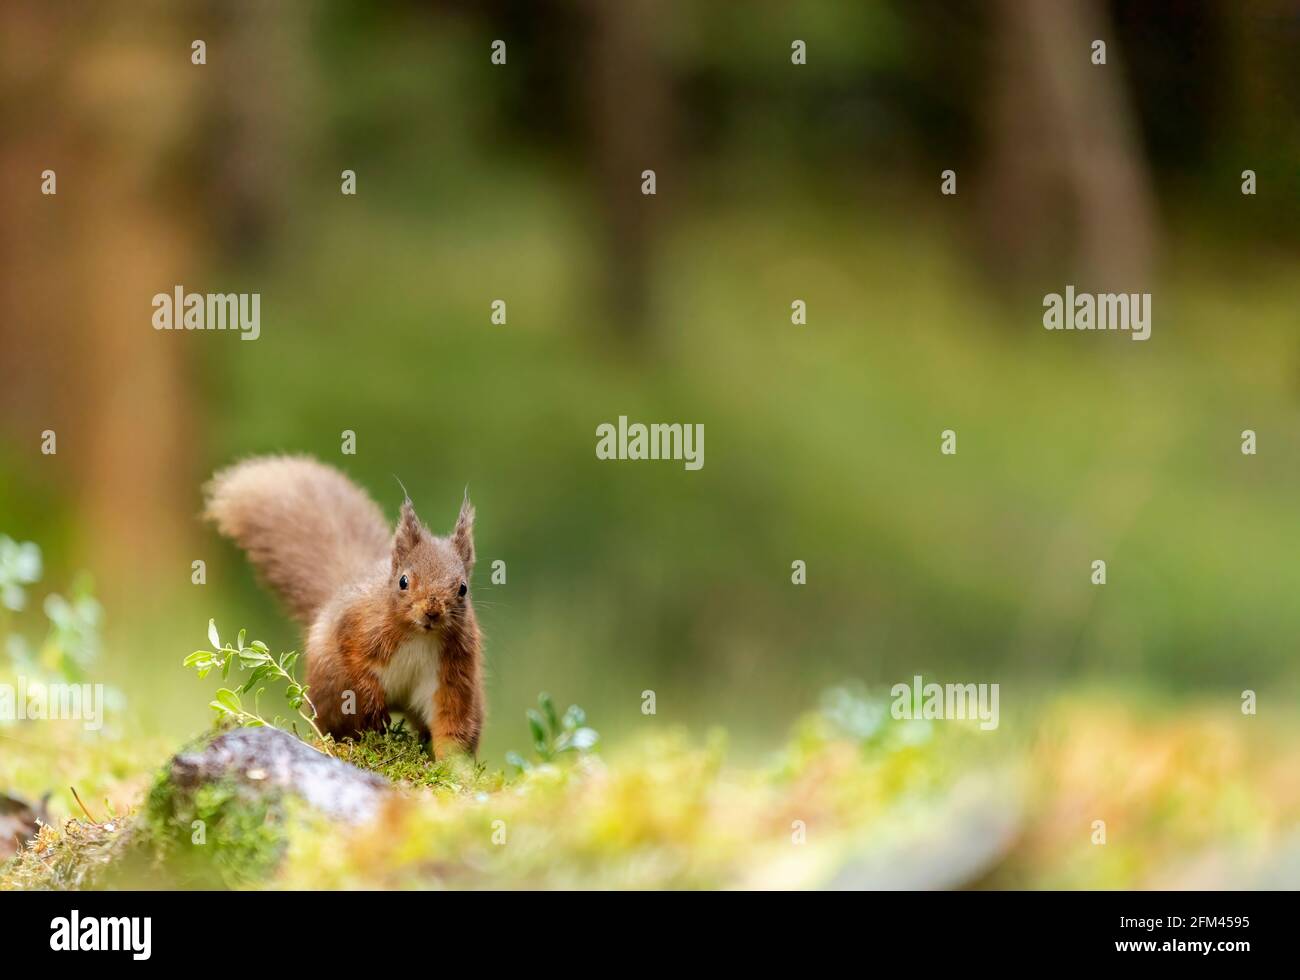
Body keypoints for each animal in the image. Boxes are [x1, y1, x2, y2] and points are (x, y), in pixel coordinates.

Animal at [203, 455, 484, 758]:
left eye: (463, 588)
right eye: (403, 581)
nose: (432, 612)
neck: (419, 636)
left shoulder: (452, 672)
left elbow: (450, 720)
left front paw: (450, 763)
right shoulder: (358, 626)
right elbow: (355, 663)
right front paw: (373, 703)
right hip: (331, 688)